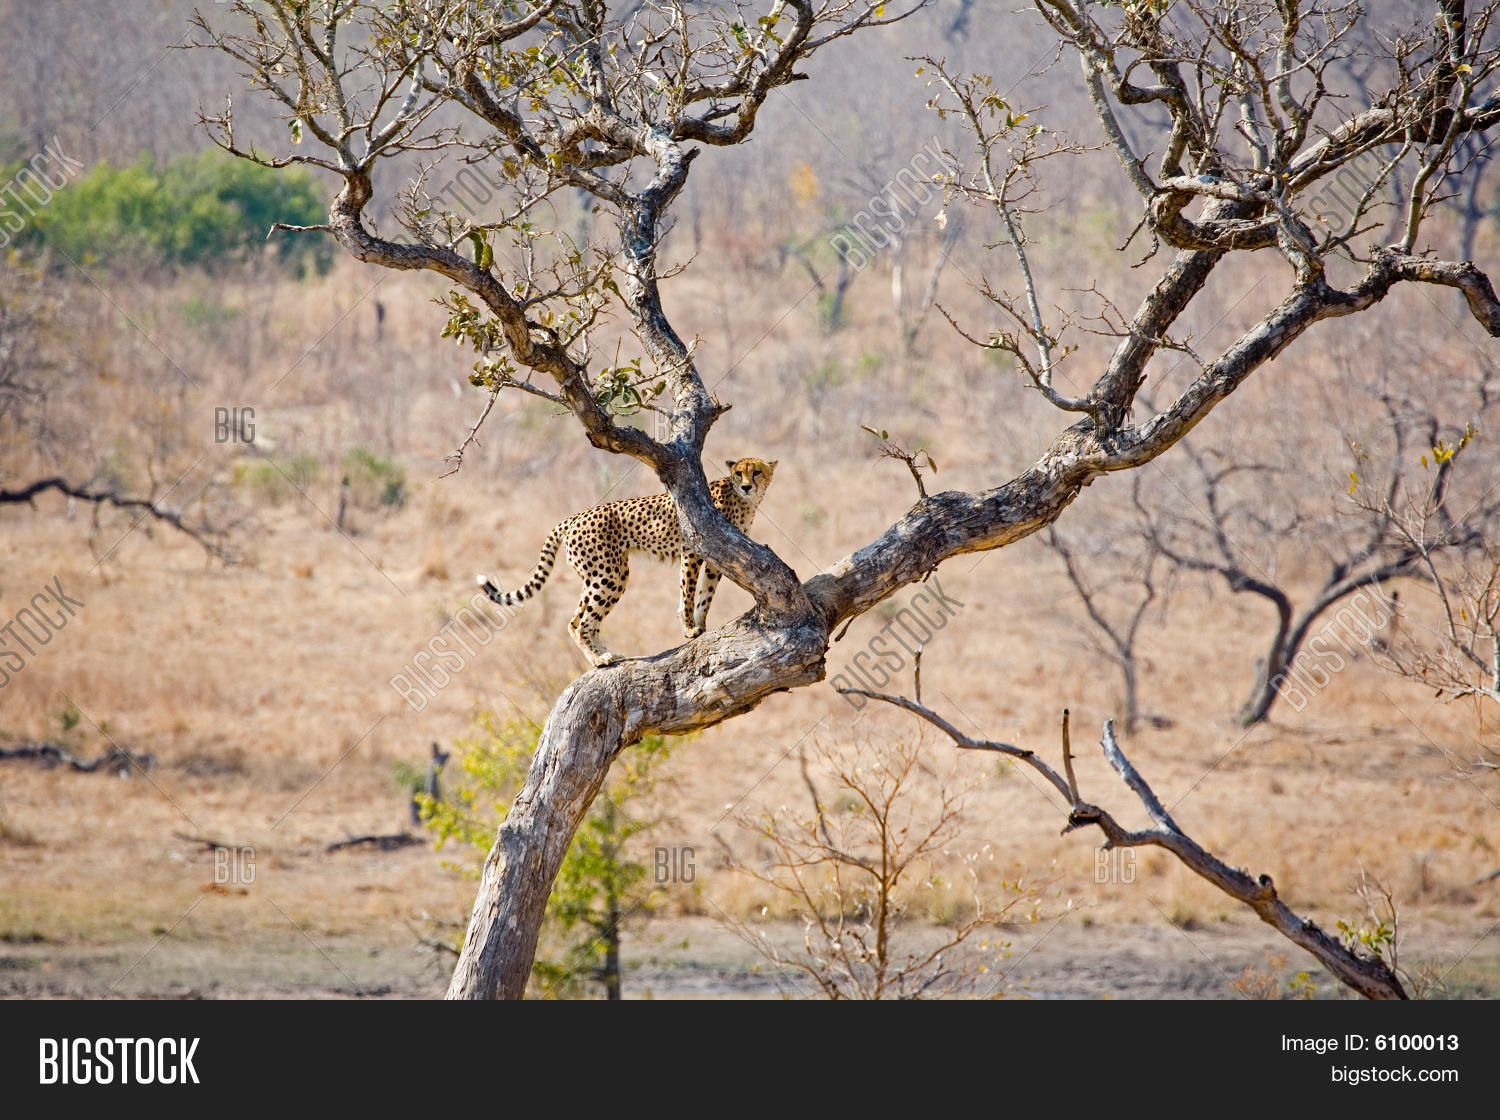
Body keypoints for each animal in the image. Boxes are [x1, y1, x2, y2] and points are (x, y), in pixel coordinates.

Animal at [477, 458, 777, 667]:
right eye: (739, 473)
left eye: (757, 472)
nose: (747, 486)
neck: (744, 501)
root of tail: (576, 516)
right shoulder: (692, 550)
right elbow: (689, 592)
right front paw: (689, 627)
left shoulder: (716, 558)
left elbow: (706, 593)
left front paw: (700, 625)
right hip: (608, 574)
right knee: (582, 621)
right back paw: (599, 660)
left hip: (600, 575)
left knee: (578, 619)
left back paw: (604, 655)